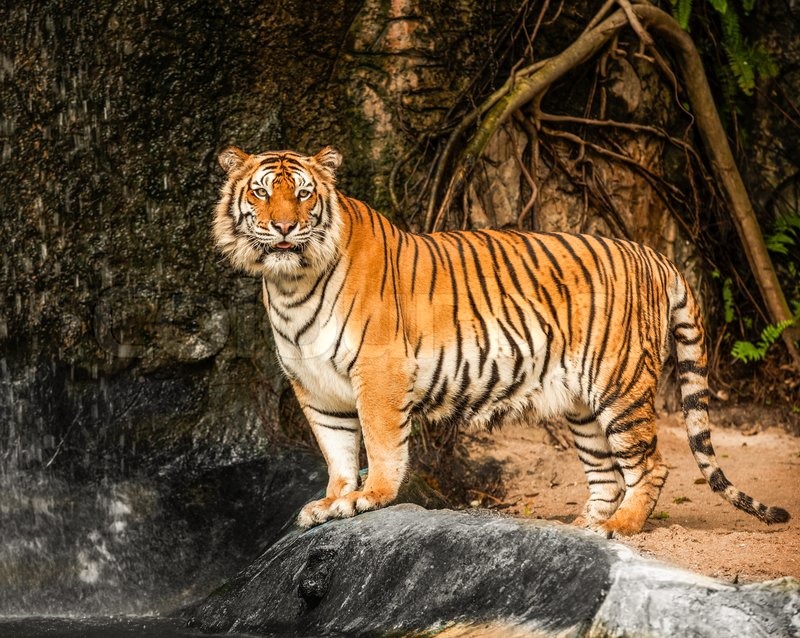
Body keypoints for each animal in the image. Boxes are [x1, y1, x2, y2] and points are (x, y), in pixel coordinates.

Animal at [213, 145, 790, 536]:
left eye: (303, 192)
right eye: (261, 191)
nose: (284, 228)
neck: (290, 282)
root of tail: (654, 255)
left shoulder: (379, 369)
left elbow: (378, 444)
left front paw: (370, 497)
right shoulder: (313, 386)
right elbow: (336, 452)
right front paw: (331, 502)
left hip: (620, 386)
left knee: (651, 465)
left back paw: (619, 528)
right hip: (581, 405)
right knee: (606, 475)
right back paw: (584, 529)